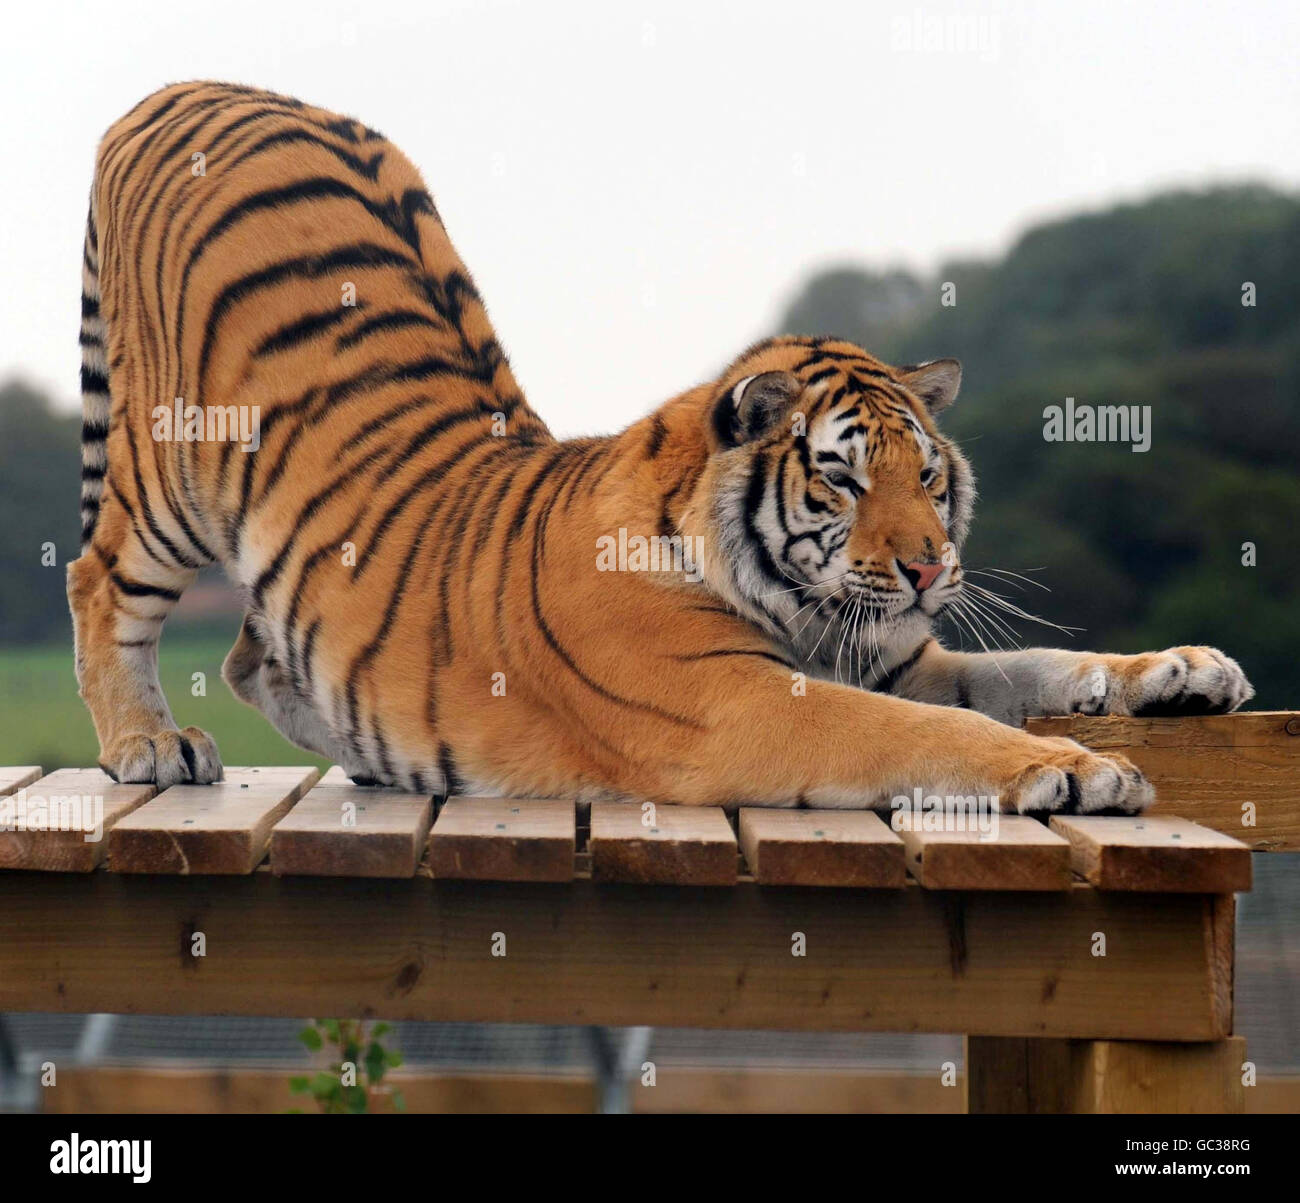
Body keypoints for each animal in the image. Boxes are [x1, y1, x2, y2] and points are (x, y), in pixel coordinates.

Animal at [69, 81, 1254, 814]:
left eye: (927, 476)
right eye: (842, 475)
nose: (929, 569)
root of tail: (185, 88)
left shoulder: (902, 656)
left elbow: (1036, 667)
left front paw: (1182, 671)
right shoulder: (735, 709)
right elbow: (933, 734)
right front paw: (1074, 769)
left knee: (252, 650)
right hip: (169, 472)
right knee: (99, 578)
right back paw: (150, 746)